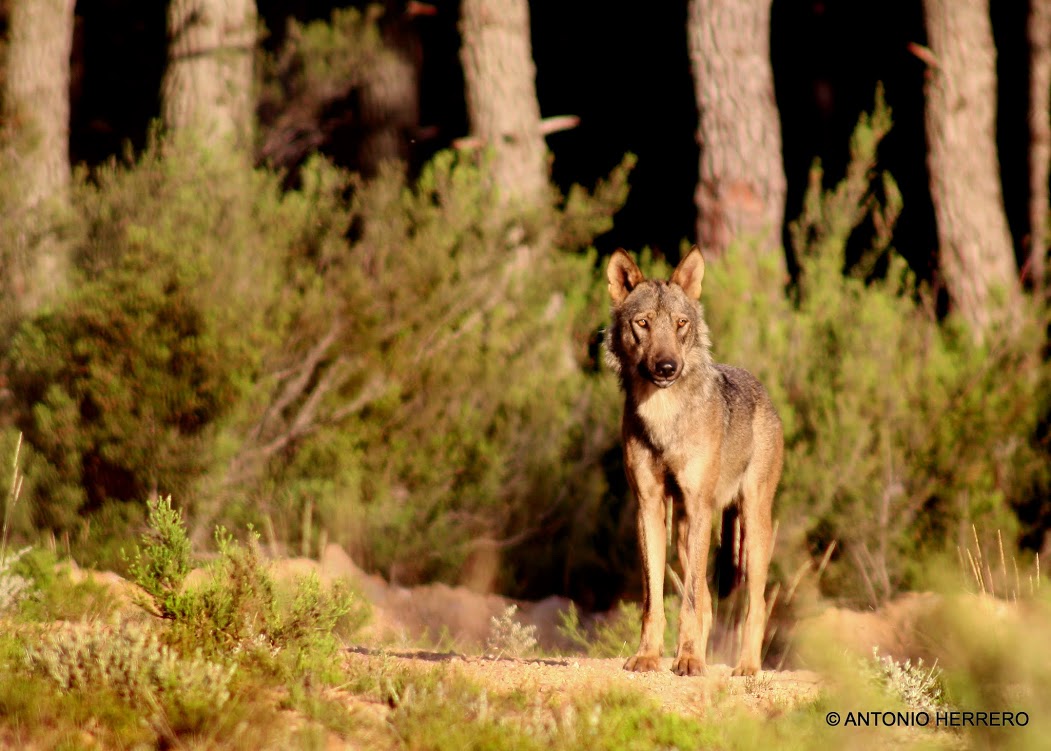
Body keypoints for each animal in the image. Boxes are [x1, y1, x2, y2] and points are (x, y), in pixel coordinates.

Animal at [604, 247, 783, 677]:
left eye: (681, 324)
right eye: (643, 323)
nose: (667, 367)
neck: (664, 419)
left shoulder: (700, 505)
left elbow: (687, 605)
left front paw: (687, 661)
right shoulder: (649, 506)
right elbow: (654, 600)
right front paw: (650, 657)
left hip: (751, 524)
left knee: (754, 606)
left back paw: (746, 667)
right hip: (686, 532)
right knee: (705, 602)